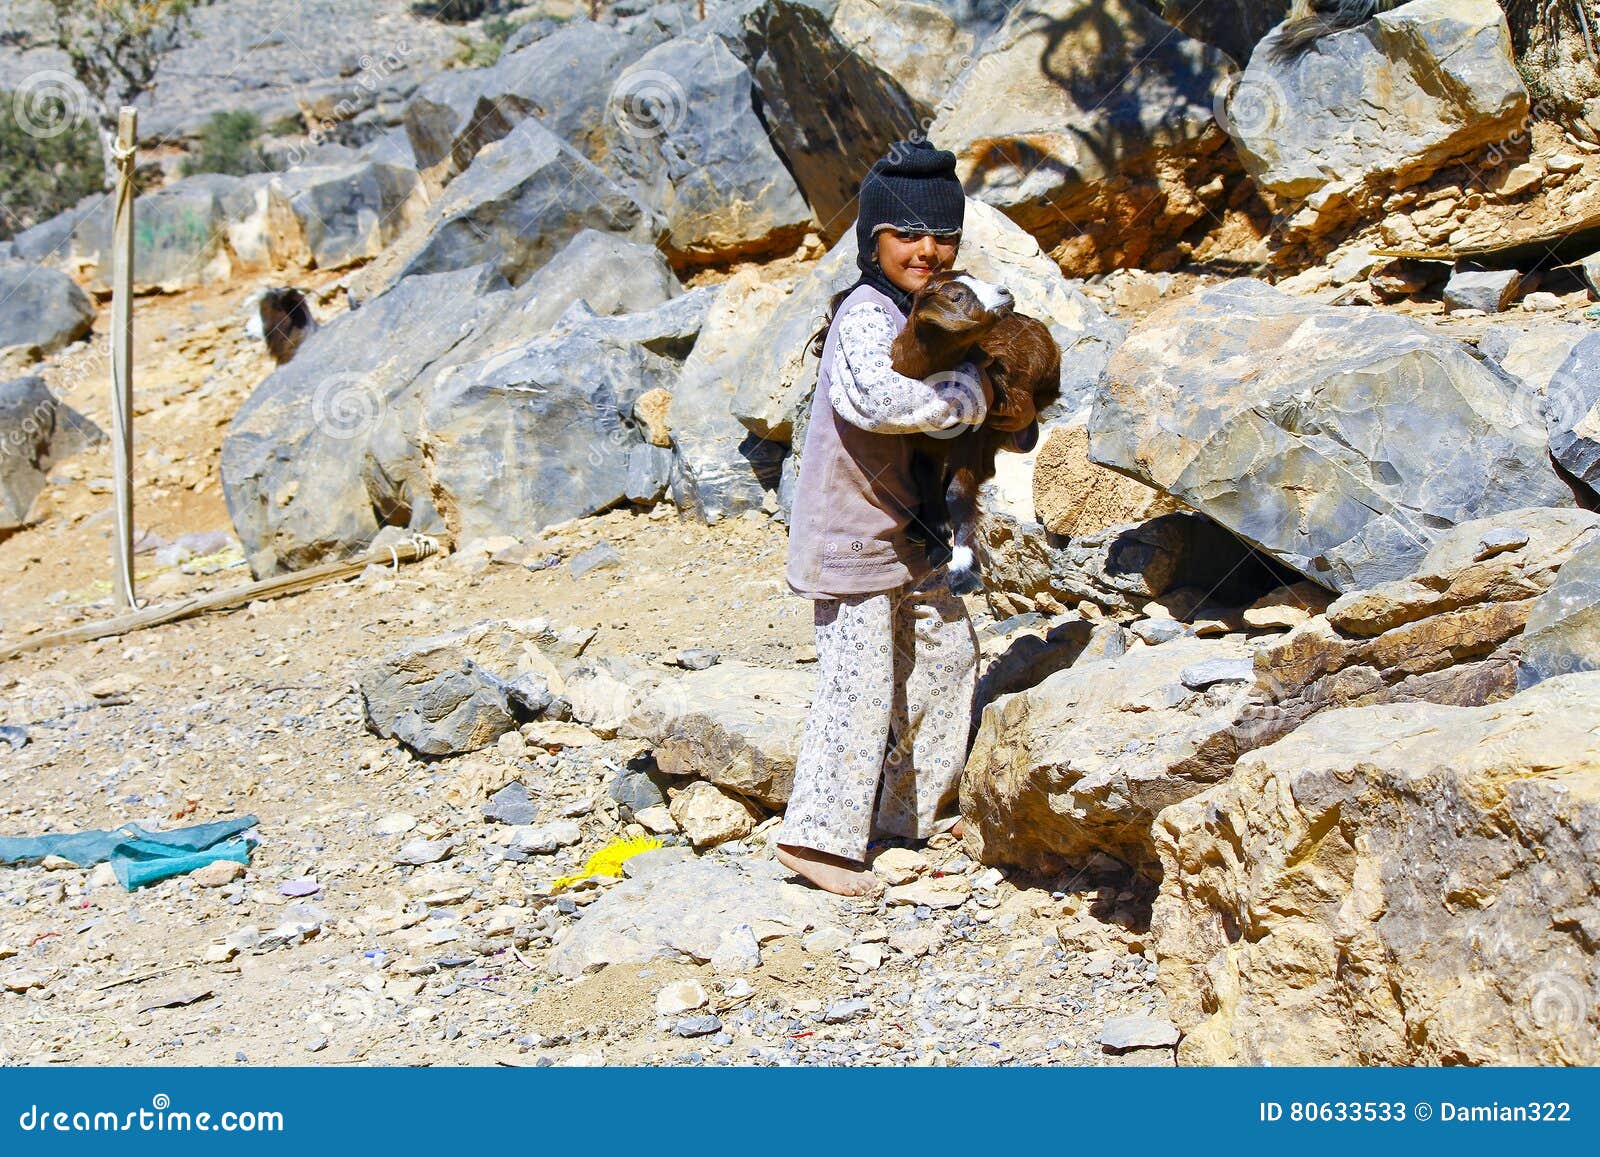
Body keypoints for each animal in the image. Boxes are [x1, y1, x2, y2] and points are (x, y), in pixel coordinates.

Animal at [889, 270, 1061, 595]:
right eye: (956, 296)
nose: (1004, 292)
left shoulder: (972, 435)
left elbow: (957, 492)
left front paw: (962, 571)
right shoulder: (922, 442)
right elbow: (927, 483)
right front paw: (936, 543)